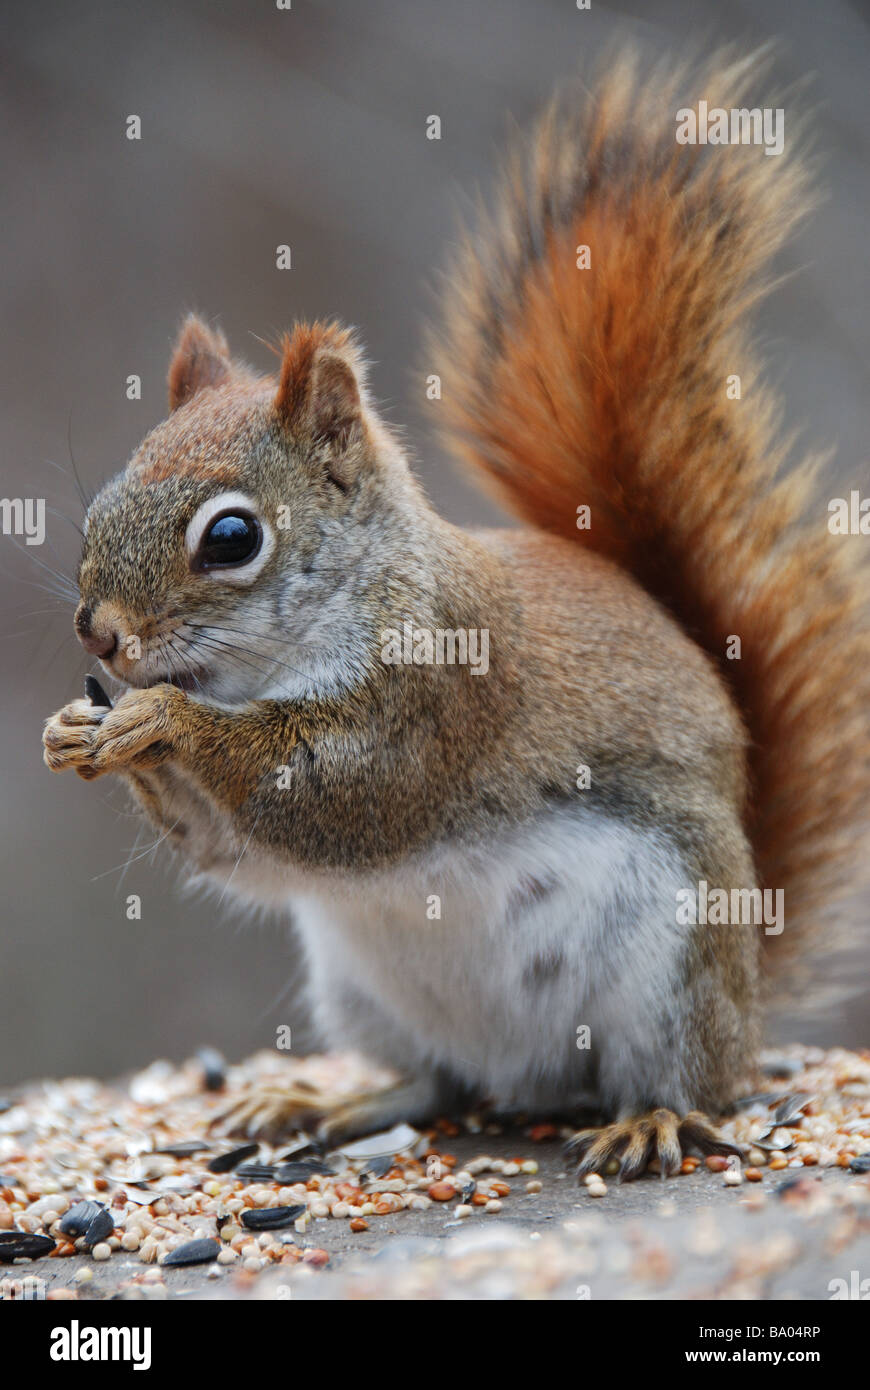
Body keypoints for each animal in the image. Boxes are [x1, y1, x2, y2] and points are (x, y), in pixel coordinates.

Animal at [43, 49, 869, 1179]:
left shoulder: (440, 692)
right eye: (101, 502)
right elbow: (231, 852)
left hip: (675, 952)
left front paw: (163, 720)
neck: (270, 662)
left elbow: (335, 793)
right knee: (437, 1083)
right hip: (362, 985)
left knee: (692, 1078)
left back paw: (651, 1119)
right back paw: (321, 1101)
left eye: (231, 538)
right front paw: (74, 730)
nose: (100, 634)